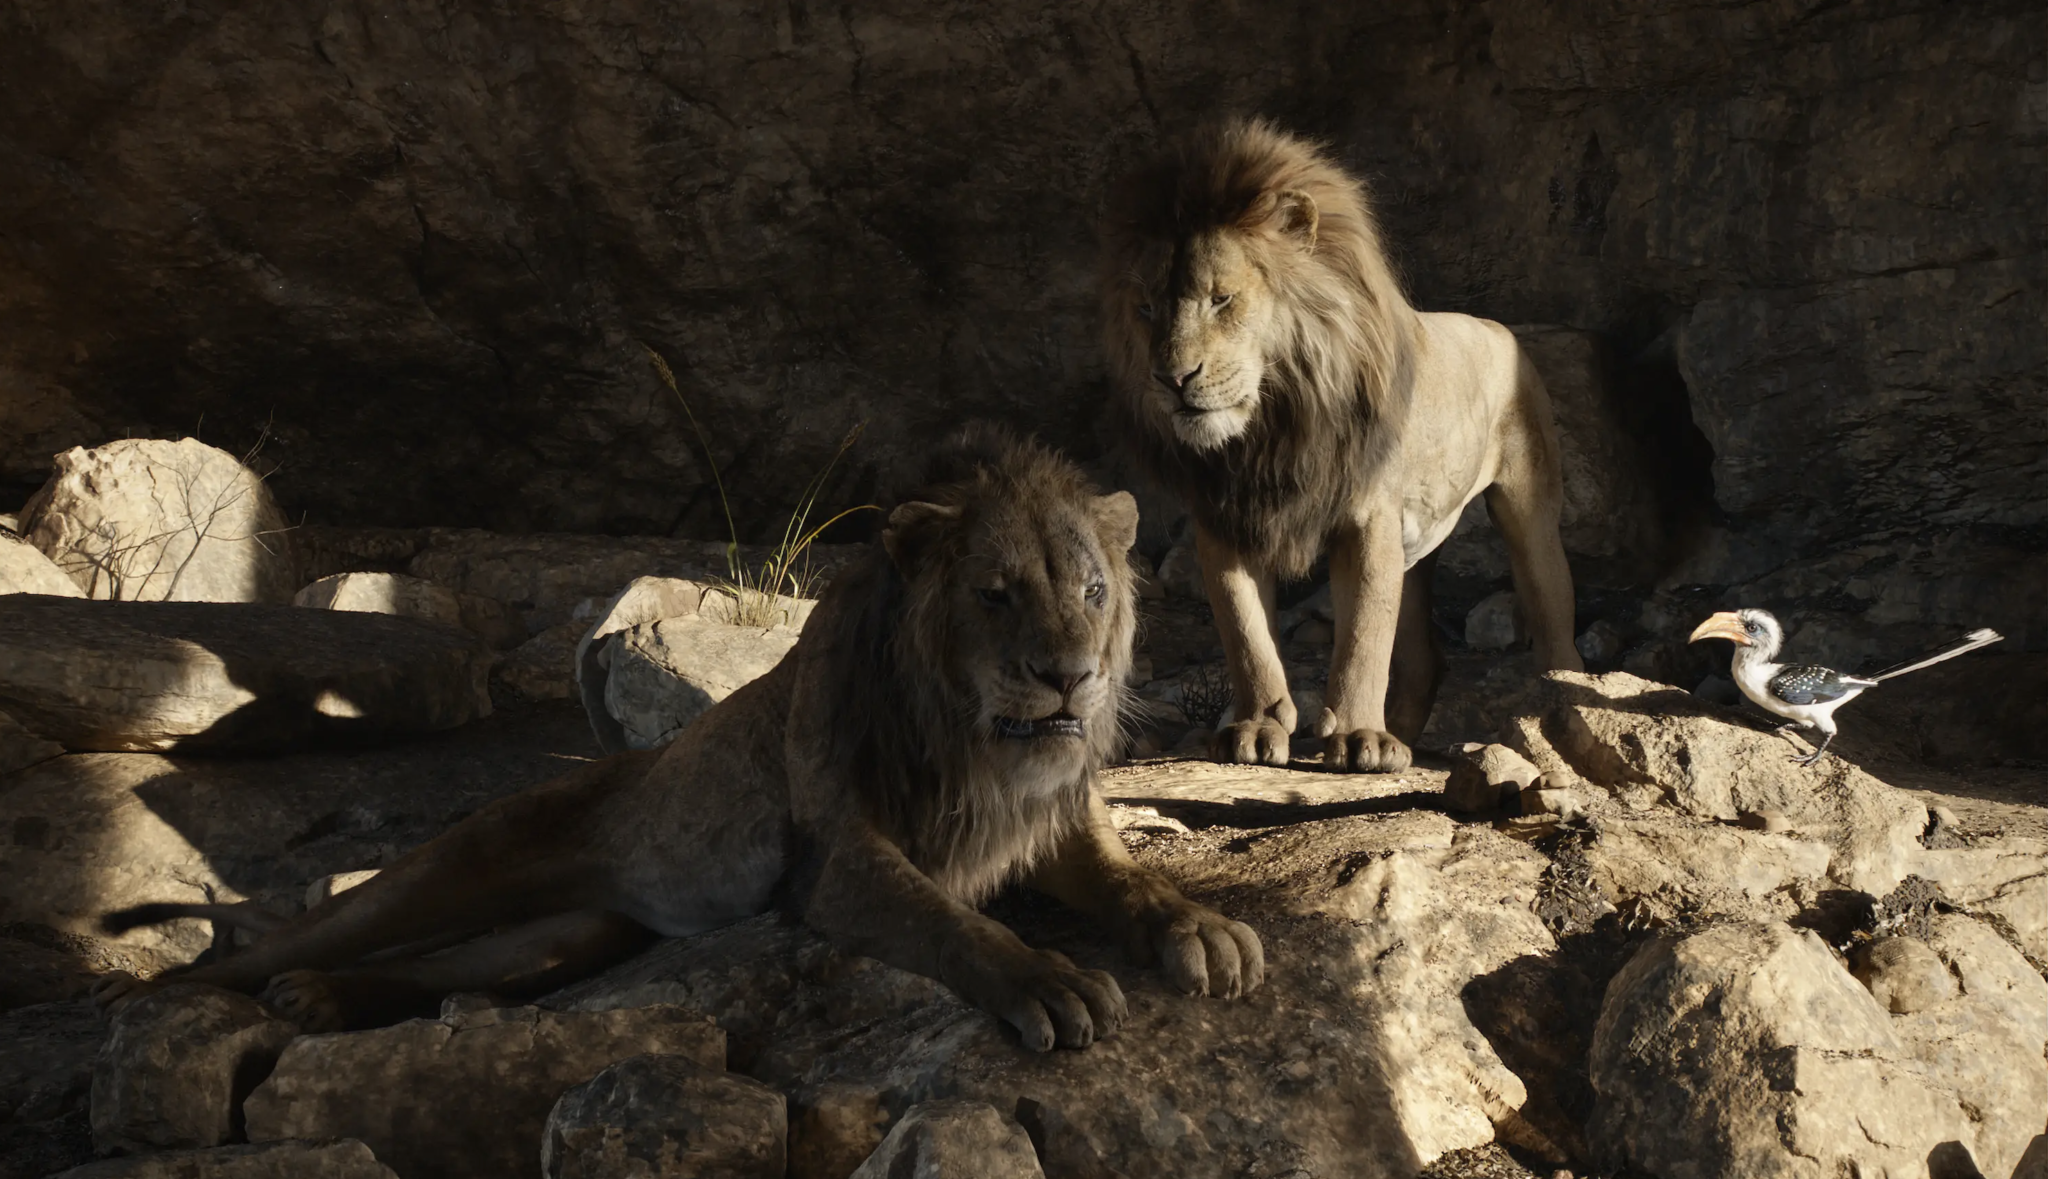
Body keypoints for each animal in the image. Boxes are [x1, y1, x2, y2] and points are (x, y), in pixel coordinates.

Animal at [93, 428, 1263, 1051]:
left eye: (1092, 592)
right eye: (995, 593)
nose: (1068, 674)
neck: (978, 739)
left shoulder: (1048, 818)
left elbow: (1131, 879)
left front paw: (1203, 928)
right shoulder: (836, 859)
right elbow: (948, 924)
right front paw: (1045, 981)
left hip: (569, 934)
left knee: (444, 971)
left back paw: (324, 1001)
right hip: (449, 865)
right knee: (308, 937)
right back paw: (161, 996)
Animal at [1101, 118, 1583, 773]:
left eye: (1222, 298)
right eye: (1146, 308)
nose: (1172, 379)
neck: (1273, 427)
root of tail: (1497, 325)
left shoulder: (1369, 518)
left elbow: (1362, 639)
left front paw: (1359, 739)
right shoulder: (1224, 518)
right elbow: (1245, 633)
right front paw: (1256, 728)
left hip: (1529, 514)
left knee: (1556, 628)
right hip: (1416, 547)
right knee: (1423, 658)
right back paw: (1402, 733)